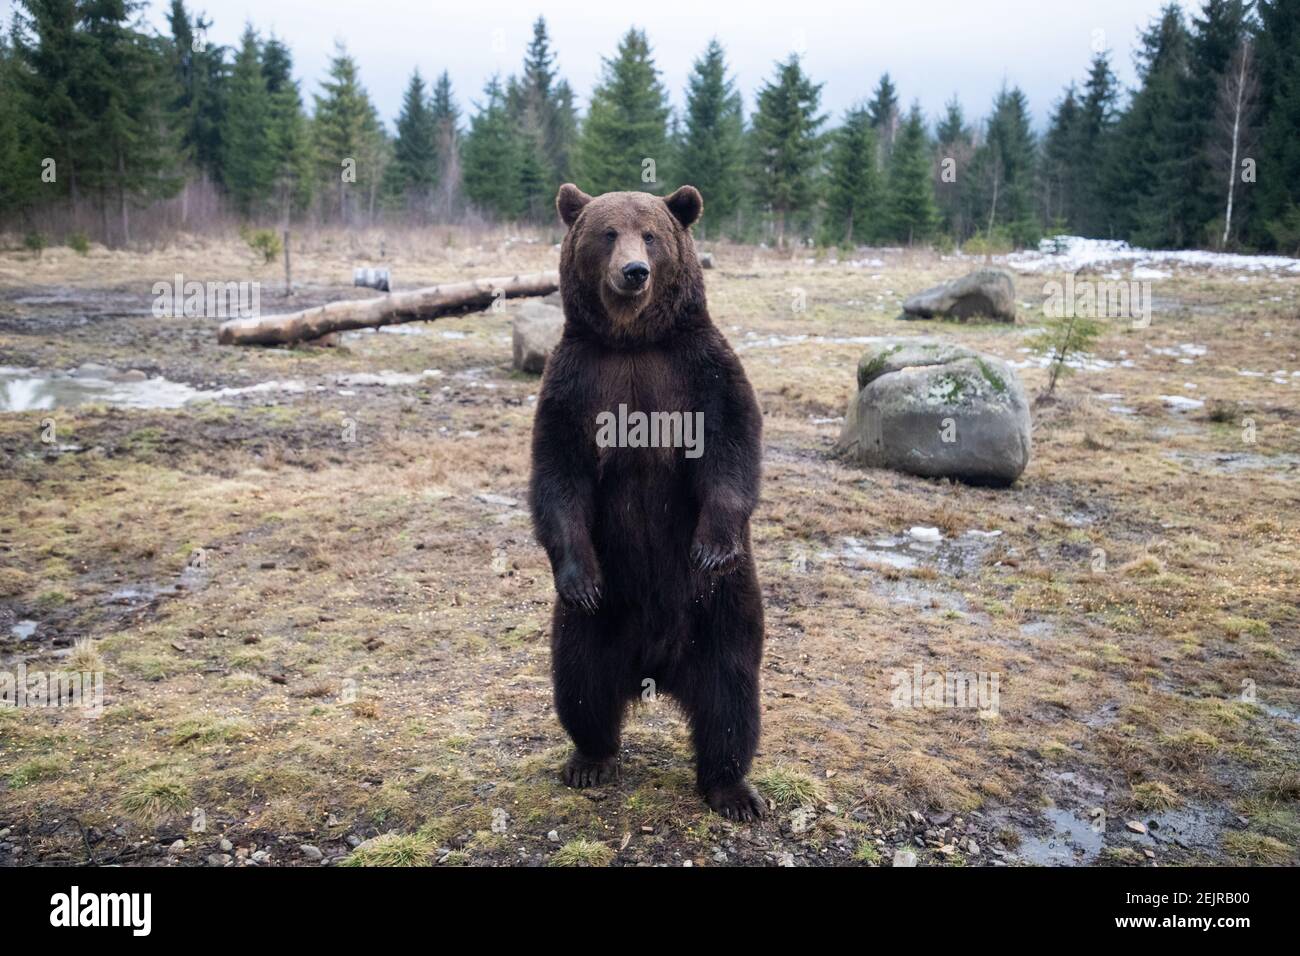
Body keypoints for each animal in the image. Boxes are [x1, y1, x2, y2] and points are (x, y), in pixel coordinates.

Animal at [528, 183, 767, 821]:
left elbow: (732, 447)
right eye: (608, 233)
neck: (633, 341)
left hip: (720, 611)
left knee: (731, 695)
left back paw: (732, 789)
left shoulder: (699, 370)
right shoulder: (575, 384)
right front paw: (581, 579)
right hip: (599, 623)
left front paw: (712, 548)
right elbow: (558, 476)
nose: (633, 272)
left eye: (652, 235)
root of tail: (656, 669)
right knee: (579, 681)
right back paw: (589, 759)